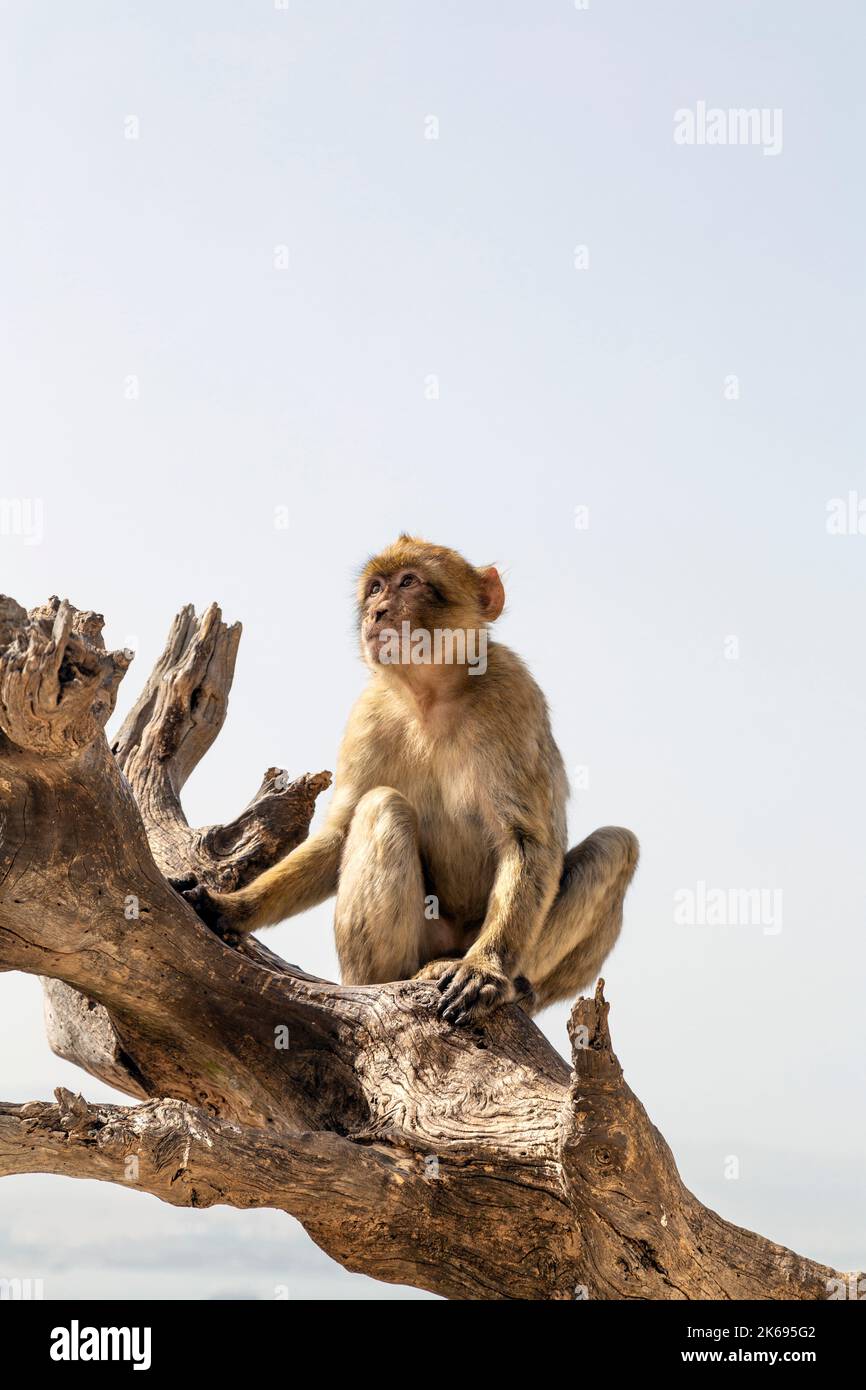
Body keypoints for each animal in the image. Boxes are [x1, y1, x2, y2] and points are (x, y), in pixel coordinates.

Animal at [184, 535, 639, 1026]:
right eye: (375, 588)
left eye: (408, 582)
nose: (377, 611)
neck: (433, 694)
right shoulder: (367, 714)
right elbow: (338, 834)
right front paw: (232, 909)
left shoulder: (513, 692)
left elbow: (527, 840)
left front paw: (485, 970)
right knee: (383, 806)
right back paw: (391, 980)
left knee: (617, 846)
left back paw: (512, 986)